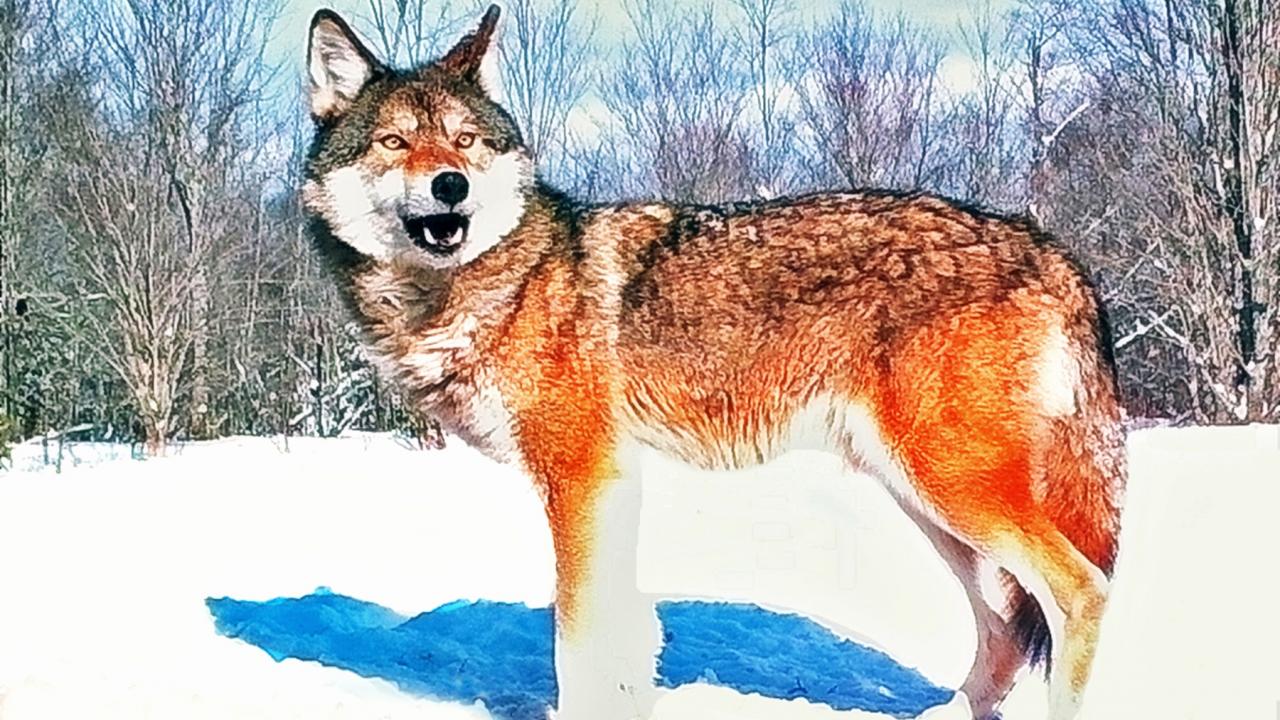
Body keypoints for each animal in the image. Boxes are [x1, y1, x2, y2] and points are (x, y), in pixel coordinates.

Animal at [302, 7, 1126, 720]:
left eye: (466, 140)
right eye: (395, 144)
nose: (451, 185)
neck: (497, 282)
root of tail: (1053, 251)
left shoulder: (581, 479)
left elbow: (579, 639)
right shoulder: (610, 483)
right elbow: (622, 638)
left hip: (952, 485)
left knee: (1078, 593)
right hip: (926, 497)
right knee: (1006, 627)